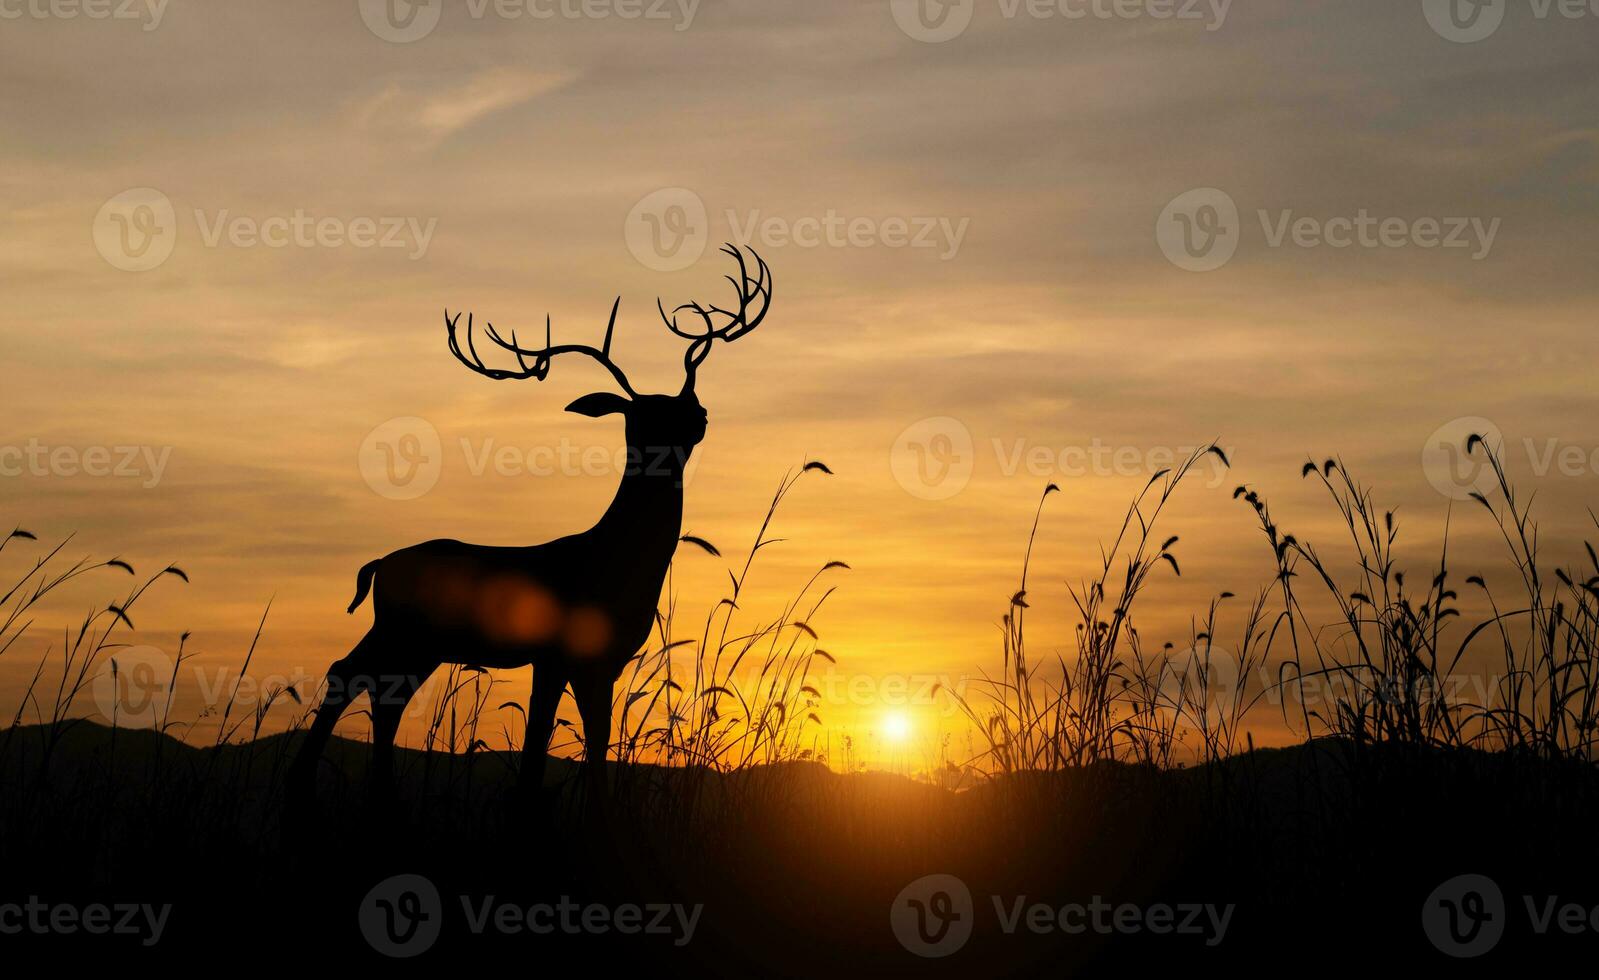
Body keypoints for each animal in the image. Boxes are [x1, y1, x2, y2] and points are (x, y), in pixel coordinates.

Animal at [287, 245, 772, 817]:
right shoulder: (554, 651)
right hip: (404, 628)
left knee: (380, 689)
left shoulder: (604, 660)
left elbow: (598, 740)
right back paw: (306, 786)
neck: (613, 561)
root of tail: (379, 565)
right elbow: (538, 743)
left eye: (681, 404)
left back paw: (377, 796)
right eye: (642, 413)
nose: (699, 418)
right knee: (353, 675)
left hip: (417, 639)